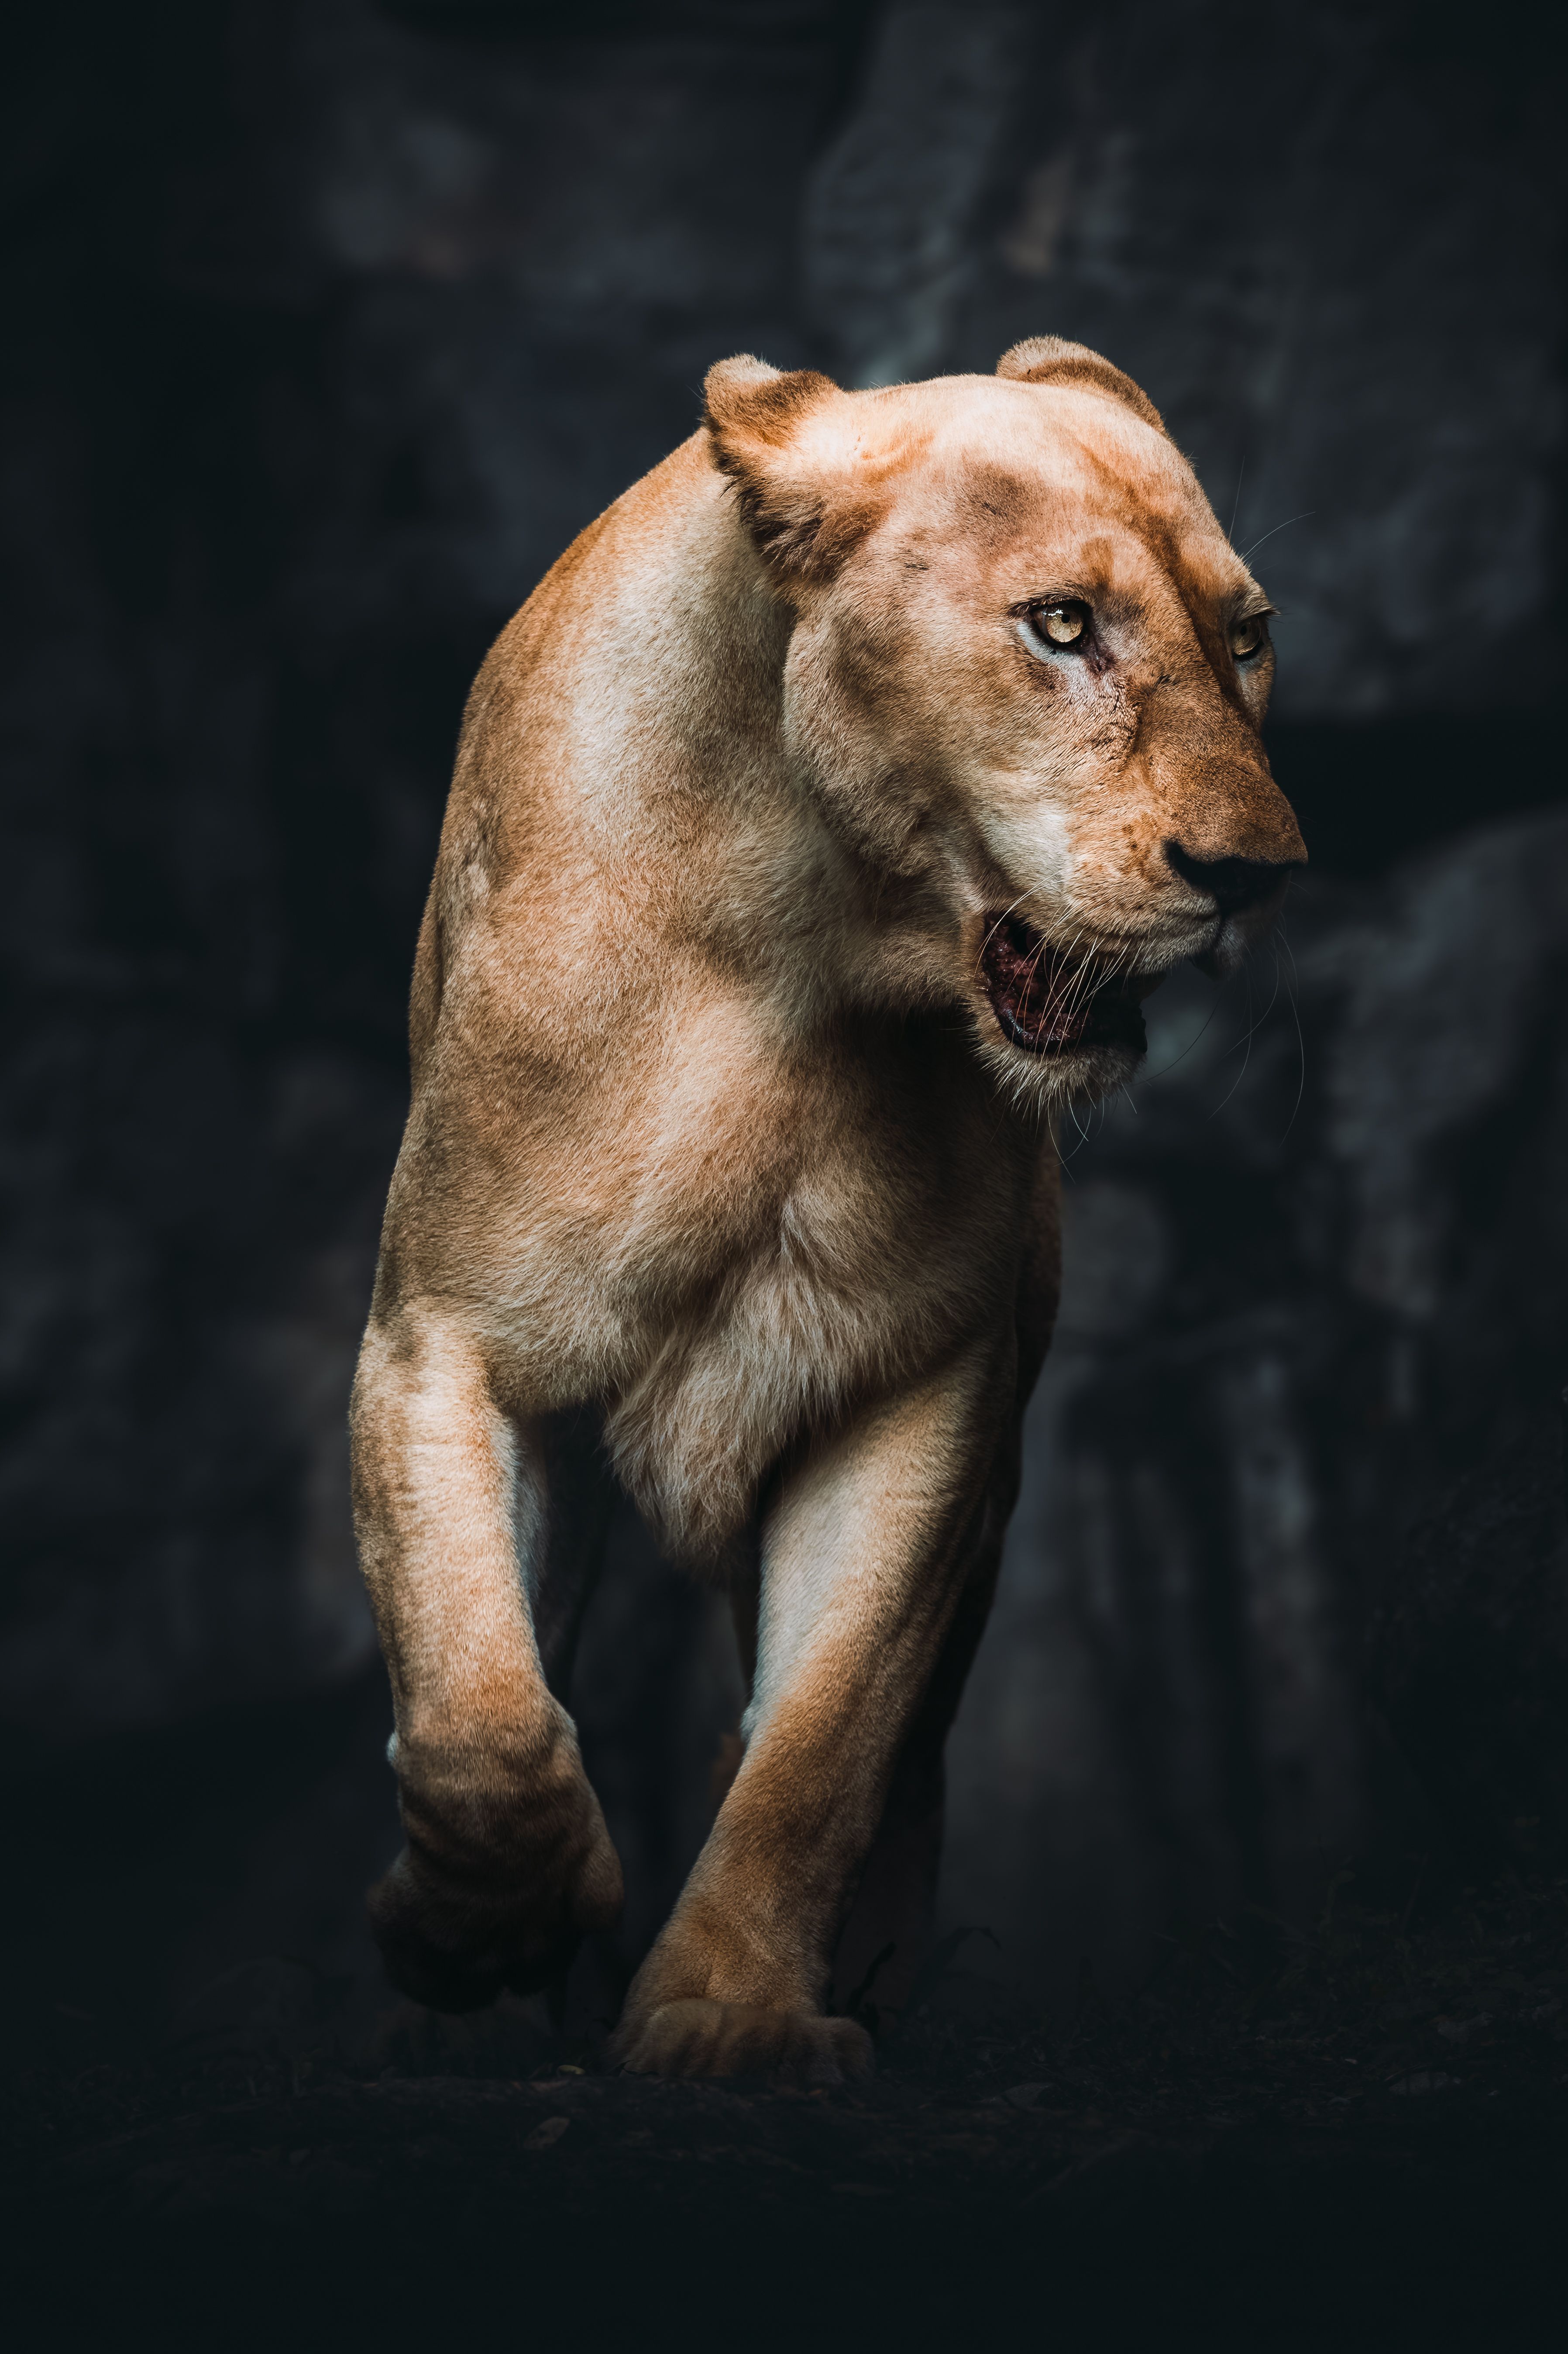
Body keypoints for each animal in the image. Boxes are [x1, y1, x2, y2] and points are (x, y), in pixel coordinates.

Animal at [350, 336, 1305, 2082]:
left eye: (1246, 636)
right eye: (1060, 624)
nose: (1258, 876)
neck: (804, 955)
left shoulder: (918, 1393)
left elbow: (821, 1743)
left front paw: (729, 2015)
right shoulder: (440, 1339)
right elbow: (479, 1709)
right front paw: (472, 1931)